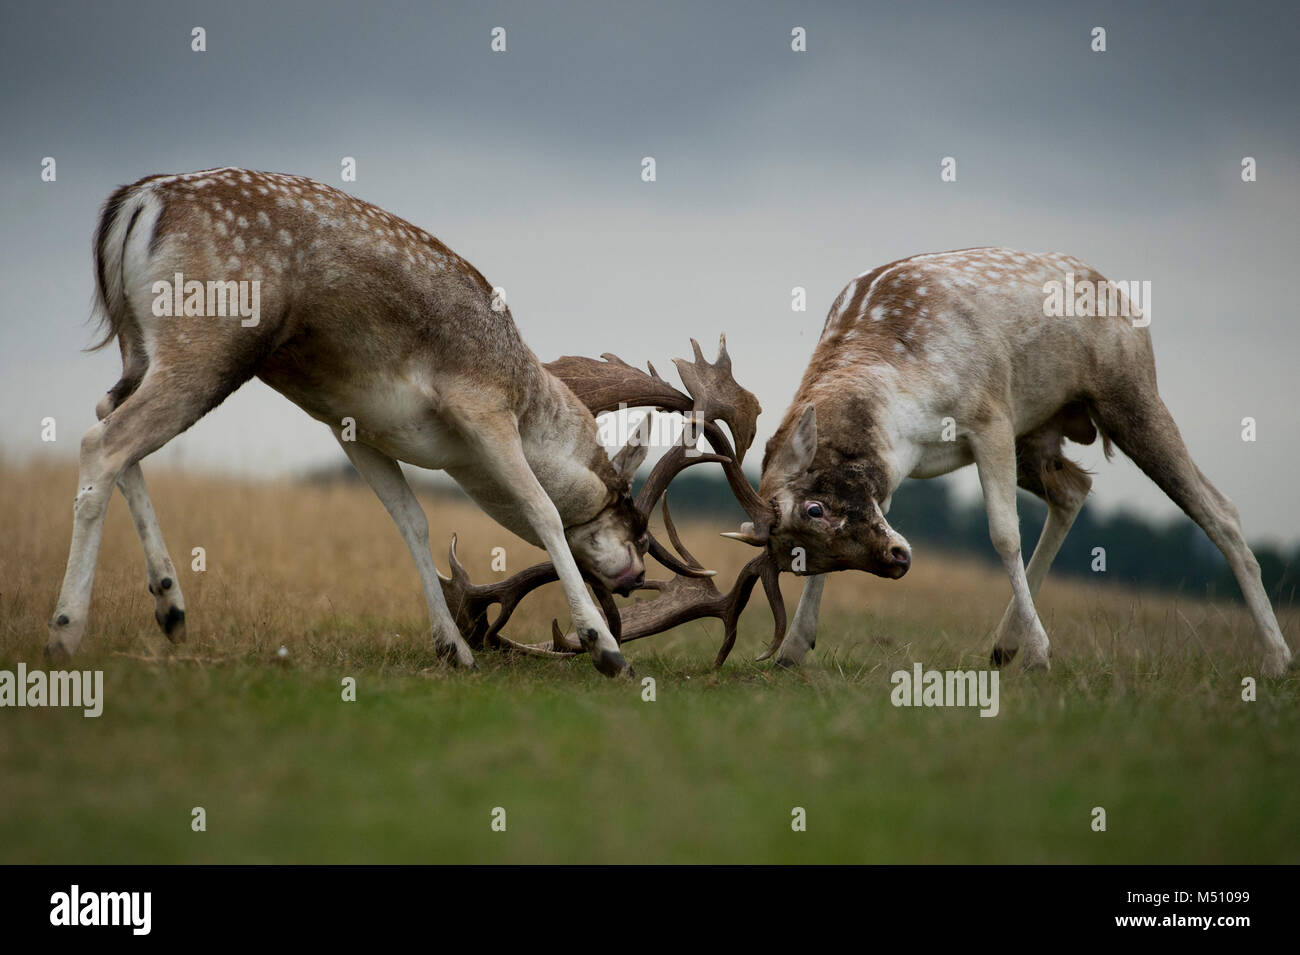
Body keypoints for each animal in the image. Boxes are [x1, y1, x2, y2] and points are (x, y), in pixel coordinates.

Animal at [47, 167, 657, 677]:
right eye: (625, 499)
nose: (637, 573)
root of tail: (140, 198)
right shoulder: (480, 402)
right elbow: (542, 508)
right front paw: (608, 651)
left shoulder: (354, 426)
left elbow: (411, 519)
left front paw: (454, 650)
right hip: (207, 344)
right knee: (104, 441)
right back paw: (64, 632)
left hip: (139, 348)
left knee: (106, 413)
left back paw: (170, 607)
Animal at [721, 247, 1294, 678]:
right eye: (801, 557)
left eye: (815, 510)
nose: (898, 560)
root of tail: (1122, 294)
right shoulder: (897, 468)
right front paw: (794, 648)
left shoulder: (990, 414)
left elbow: (1002, 533)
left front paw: (1043, 656)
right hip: (1038, 435)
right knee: (1075, 488)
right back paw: (1003, 645)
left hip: (1131, 391)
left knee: (1220, 510)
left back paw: (1276, 659)